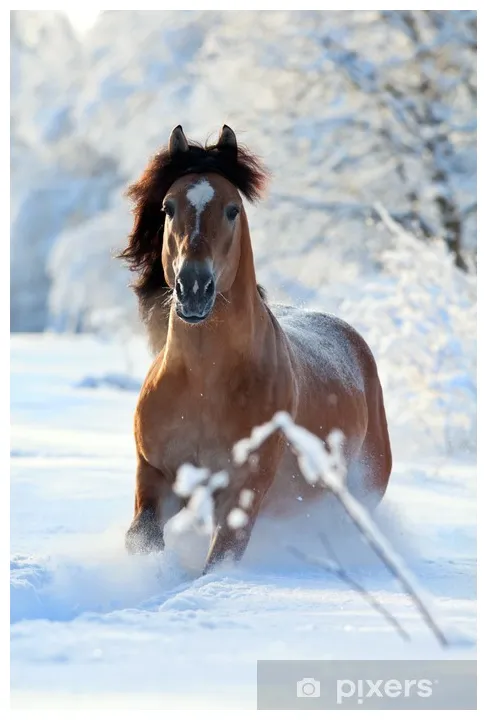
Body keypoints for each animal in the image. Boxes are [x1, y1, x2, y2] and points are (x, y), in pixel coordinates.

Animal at [119, 124, 392, 573]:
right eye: (168, 207)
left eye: (232, 210)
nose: (194, 287)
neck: (203, 386)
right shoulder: (156, 474)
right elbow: (142, 539)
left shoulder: (242, 493)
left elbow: (219, 562)